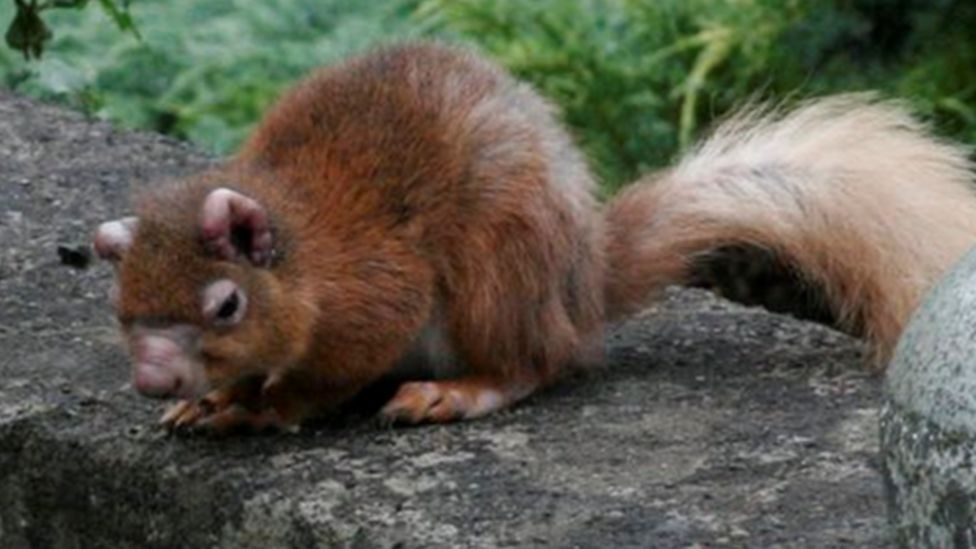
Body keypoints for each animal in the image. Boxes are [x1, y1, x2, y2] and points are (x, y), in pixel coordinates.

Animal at [93, 42, 976, 433]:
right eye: (123, 309)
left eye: (226, 304)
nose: (152, 378)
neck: (306, 255)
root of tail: (578, 292)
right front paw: (216, 398)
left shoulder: (372, 290)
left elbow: (332, 370)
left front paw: (263, 405)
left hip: (495, 271)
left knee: (535, 363)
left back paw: (462, 388)